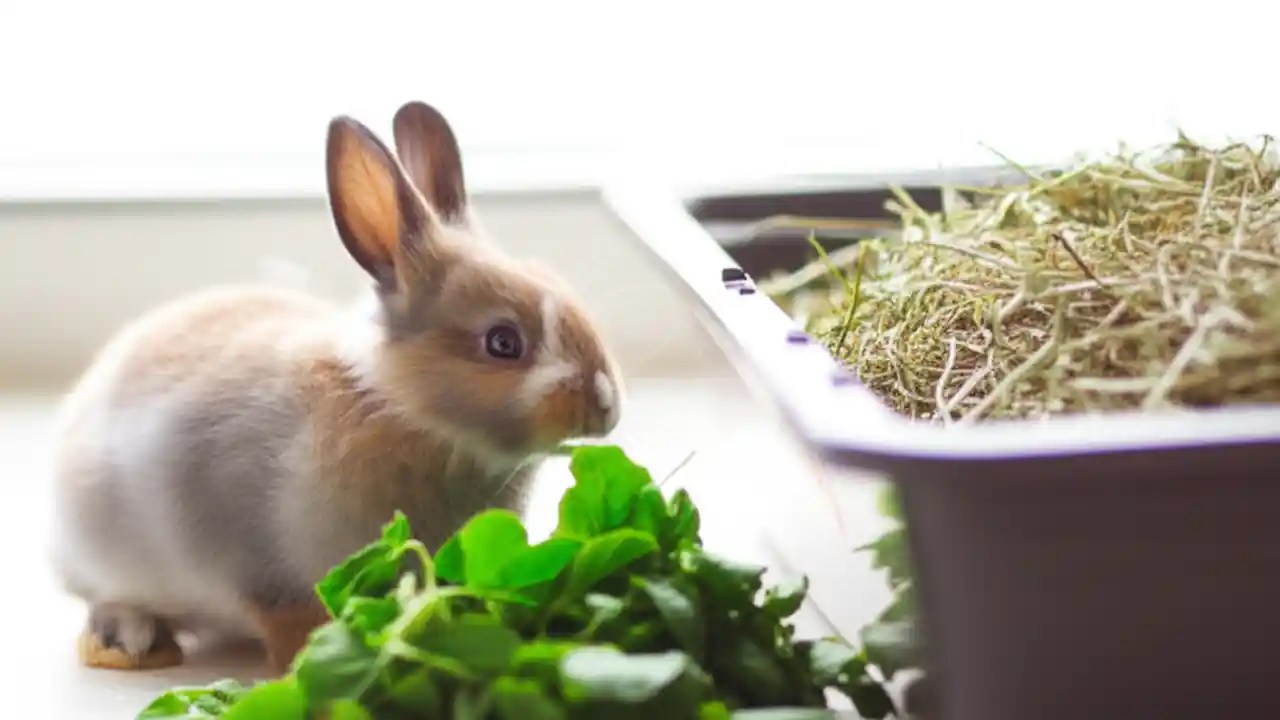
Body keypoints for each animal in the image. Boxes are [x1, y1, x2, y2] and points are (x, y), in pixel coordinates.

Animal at [48, 100, 625, 674]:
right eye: (503, 342)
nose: (605, 405)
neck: (397, 408)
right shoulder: (261, 566)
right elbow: (289, 620)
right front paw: (308, 660)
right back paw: (131, 643)